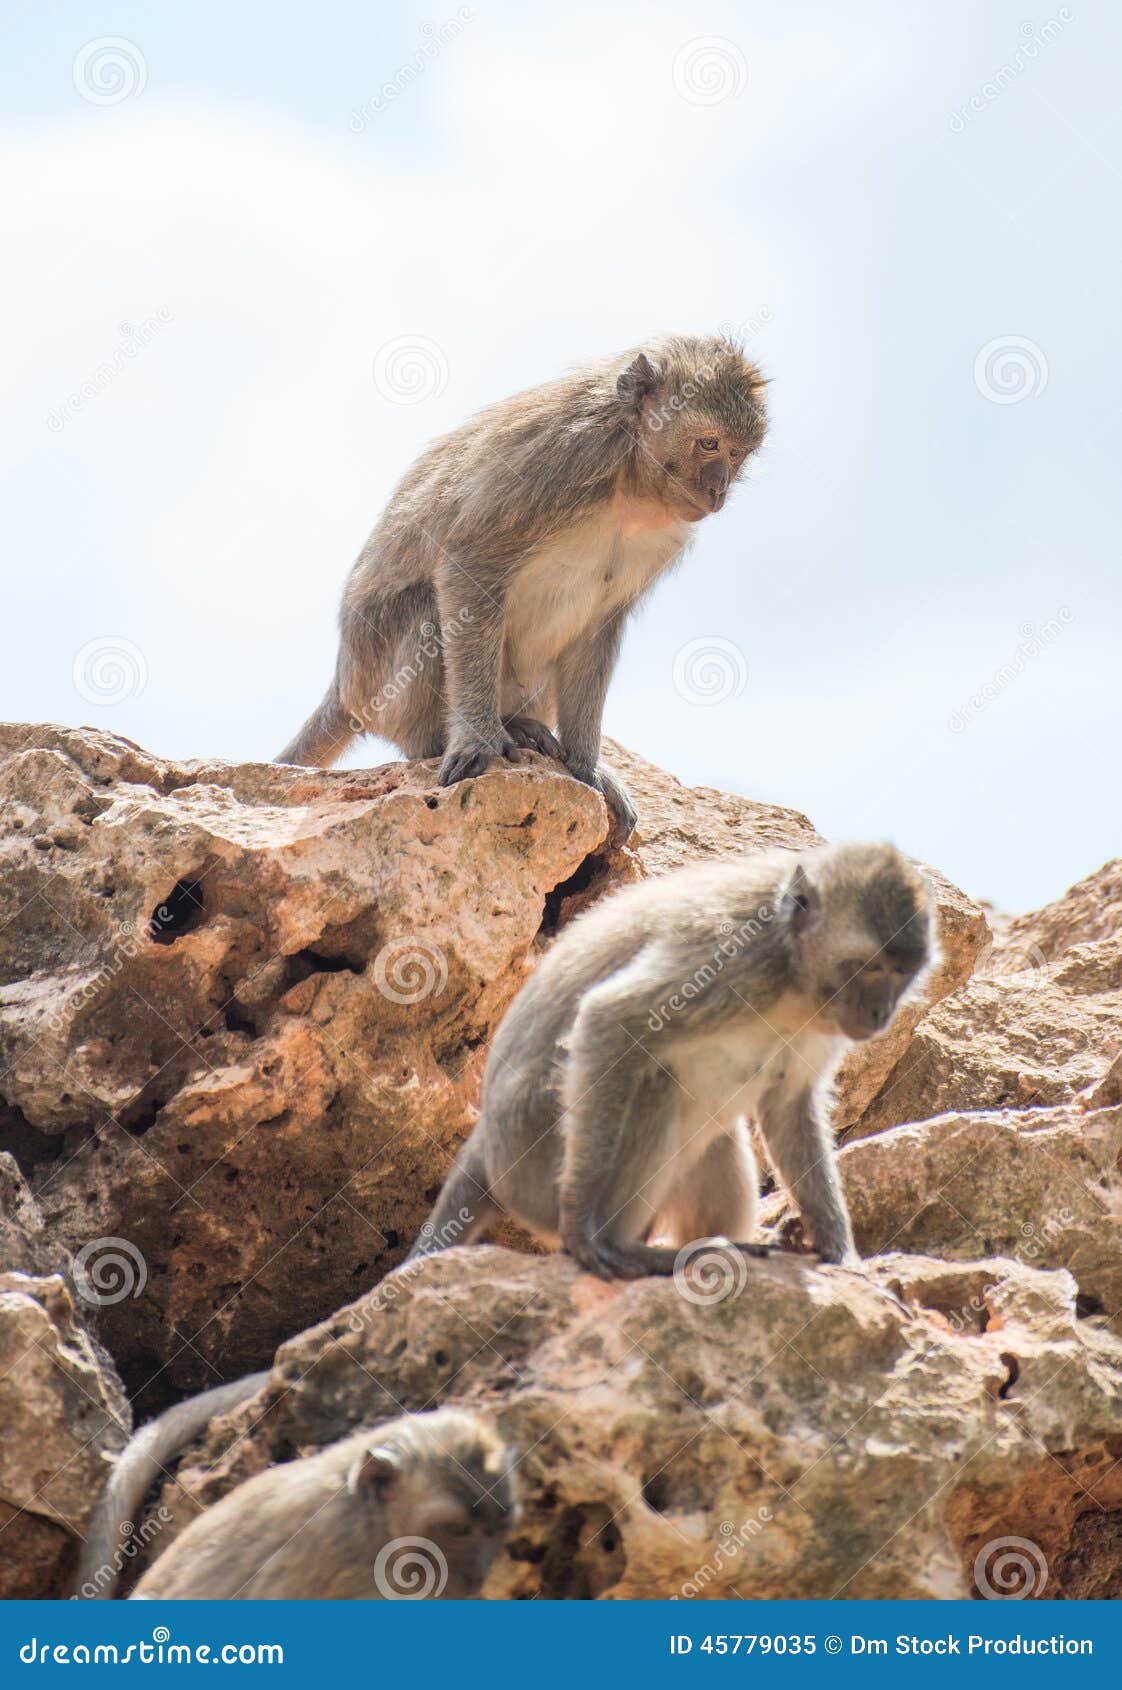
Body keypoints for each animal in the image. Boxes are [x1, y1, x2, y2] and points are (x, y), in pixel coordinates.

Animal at [277, 335, 767, 843]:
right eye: (709, 443)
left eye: (737, 454)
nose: (718, 491)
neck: (629, 480)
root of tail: (344, 685)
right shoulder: (558, 457)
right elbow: (470, 564)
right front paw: (477, 738)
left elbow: (599, 627)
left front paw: (587, 765)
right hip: (380, 683)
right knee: (428, 611)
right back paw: (441, 739)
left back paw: (521, 725)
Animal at [408, 842, 936, 1280]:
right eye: (869, 968)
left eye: (902, 973)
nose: (881, 1012)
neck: (793, 972)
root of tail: (485, 1147)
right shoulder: (731, 957)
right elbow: (611, 1020)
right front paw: (581, 1227)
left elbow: (789, 1104)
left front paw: (838, 1248)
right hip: (535, 1169)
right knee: (652, 1083)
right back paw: (626, 1246)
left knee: (717, 1137)